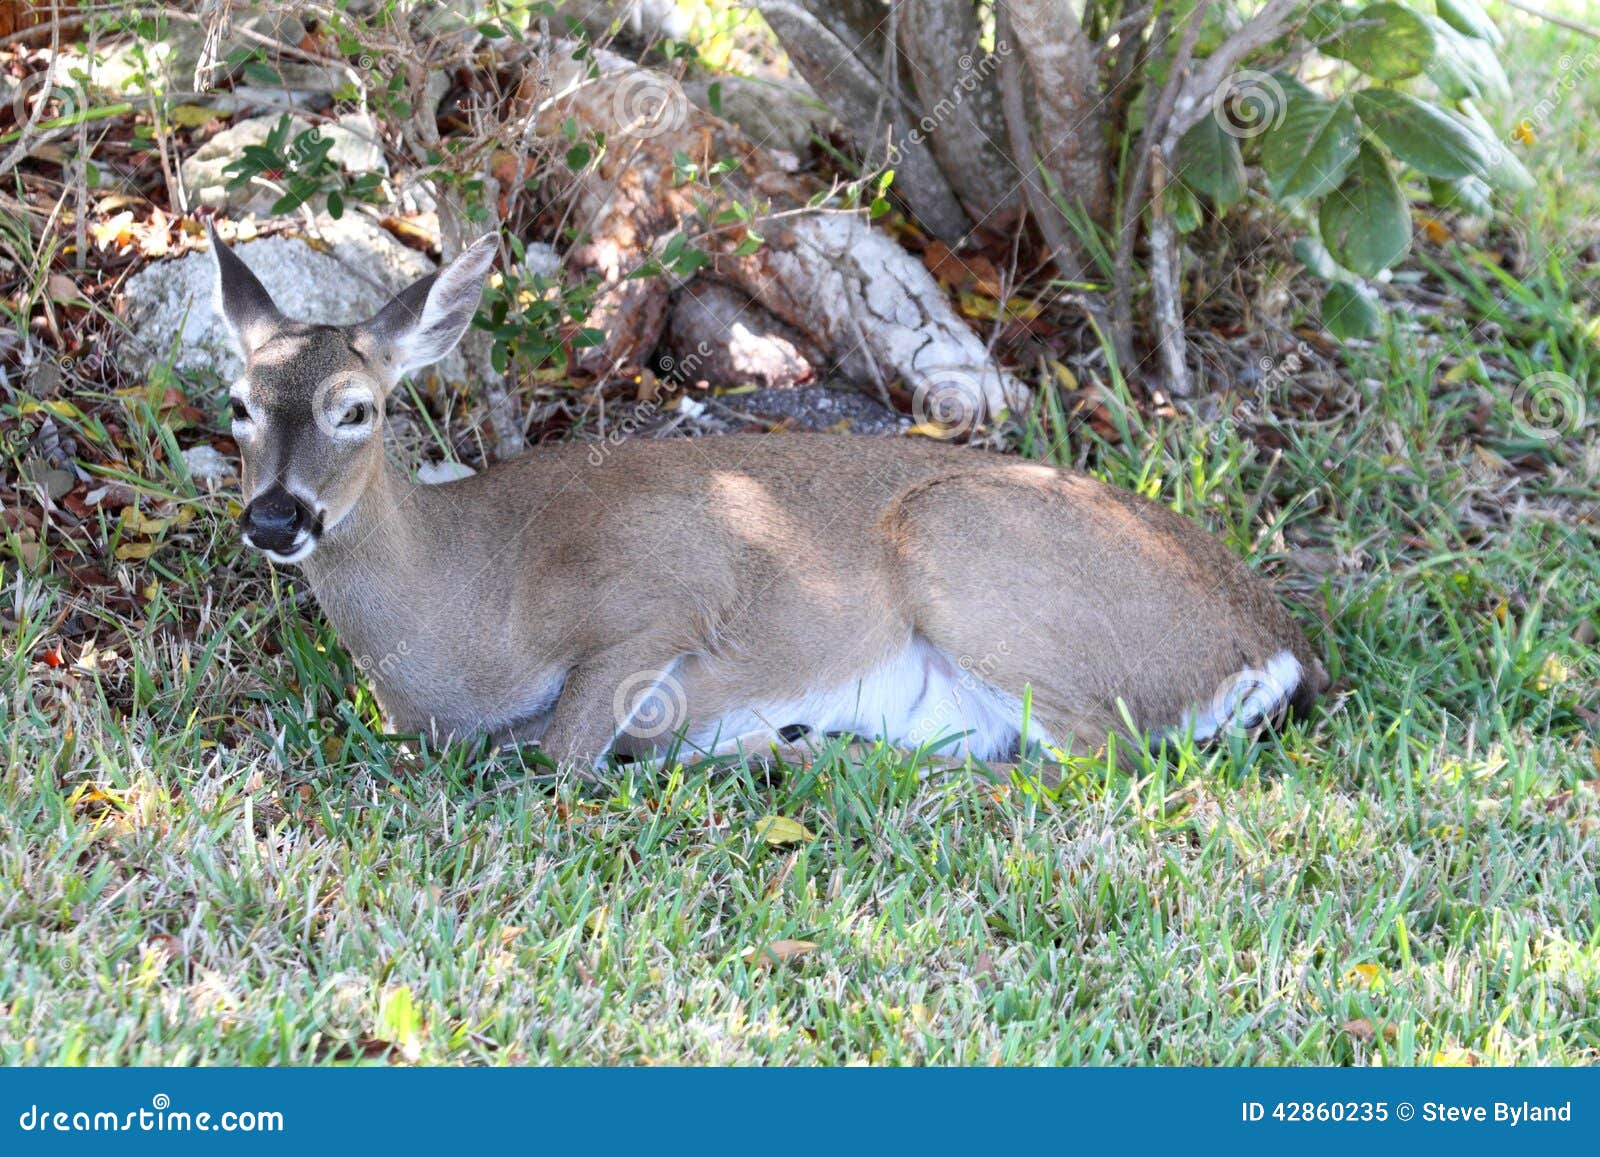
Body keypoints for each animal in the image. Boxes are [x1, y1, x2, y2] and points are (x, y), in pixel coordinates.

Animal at [210, 225, 1326, 770]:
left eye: (355, 408)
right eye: (238, 404)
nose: (275, 517)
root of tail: (1274, 645)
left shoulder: (669, 583)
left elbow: (558, 753)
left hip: (964, 546)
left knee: (1096, 760)